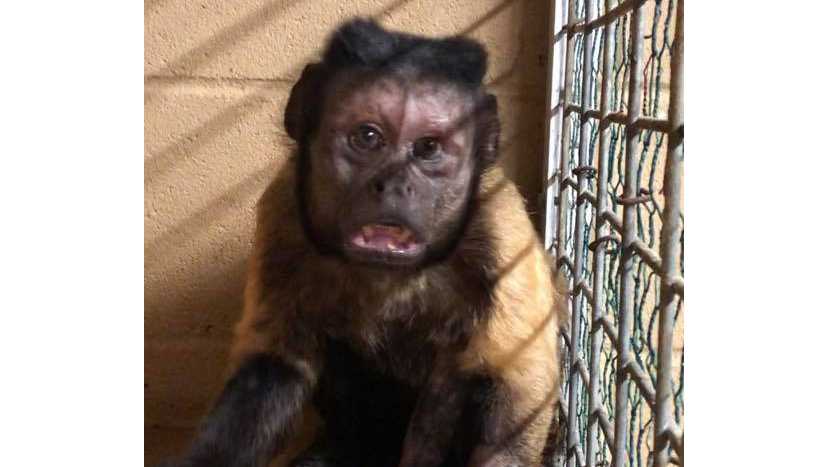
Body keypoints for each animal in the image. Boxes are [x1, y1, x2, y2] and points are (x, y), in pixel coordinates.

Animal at [165, 19, 567, 467]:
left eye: (428, 147)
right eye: (368, 136)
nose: (392, 183)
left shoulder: (500, 227)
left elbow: (517, 383)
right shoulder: (284, 214)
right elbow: (276, 363)